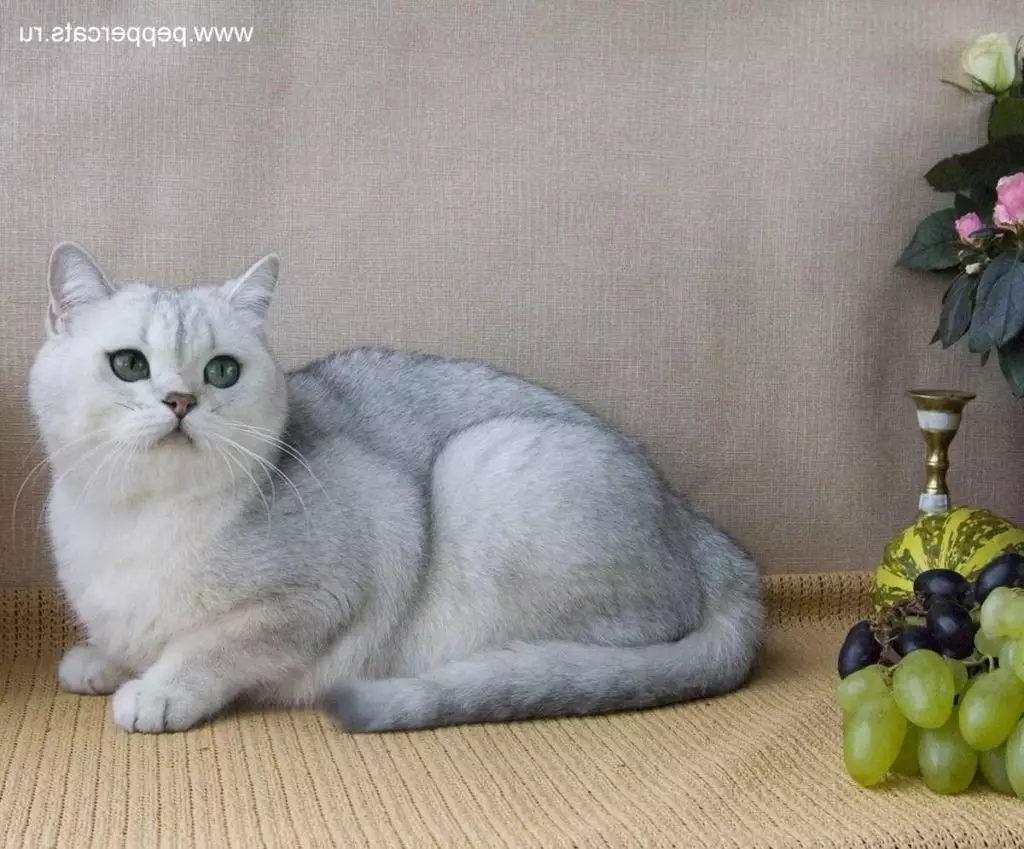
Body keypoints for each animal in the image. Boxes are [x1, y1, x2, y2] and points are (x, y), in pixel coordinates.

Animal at [28, 241, 765, 733]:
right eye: (129, 364)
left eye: (223, 371)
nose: (181, 401)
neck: (136, 518)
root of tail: (702, 529)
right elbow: (132, 638)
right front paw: (106, 661)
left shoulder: (331, 582)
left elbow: (216, 643)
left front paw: (159, 689)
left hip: (483, 463)